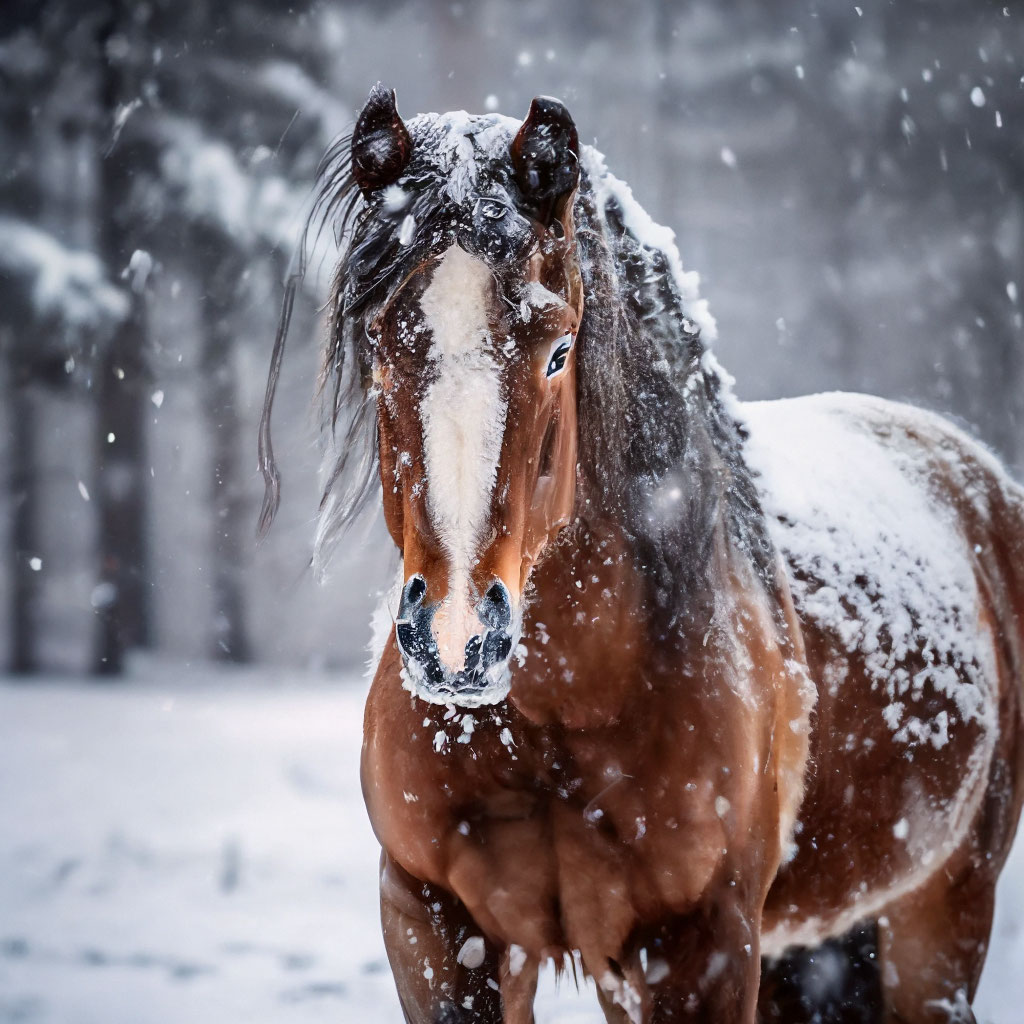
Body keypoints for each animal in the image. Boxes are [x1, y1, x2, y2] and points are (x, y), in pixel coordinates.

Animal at [257, 85, 1024, 1023]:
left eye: (558, 350)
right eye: (375, 345)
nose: (455, 640)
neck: (552, 715)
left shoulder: (703, 946)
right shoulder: (437, 926)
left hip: (940, 916)